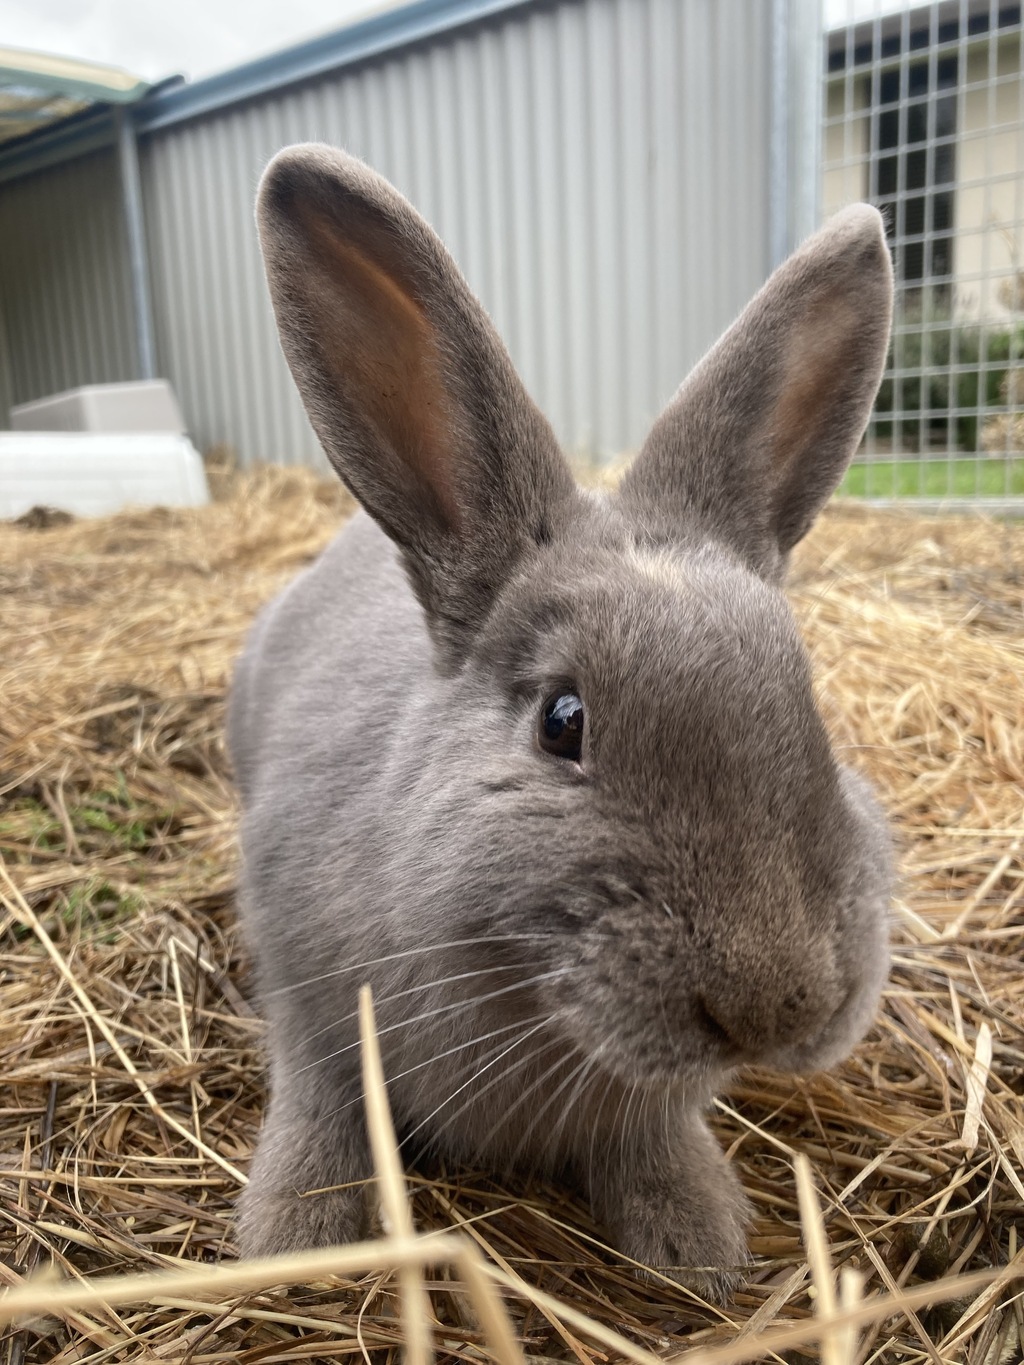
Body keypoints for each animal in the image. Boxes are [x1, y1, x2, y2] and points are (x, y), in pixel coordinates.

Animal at [228, 141, 895, 1299]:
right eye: (562, 722)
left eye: (804, 699)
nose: (777, 1005)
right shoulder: (305, 993)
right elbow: (322, 1107)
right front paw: (292, 1243)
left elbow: (651, 1137)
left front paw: (696, 1242)